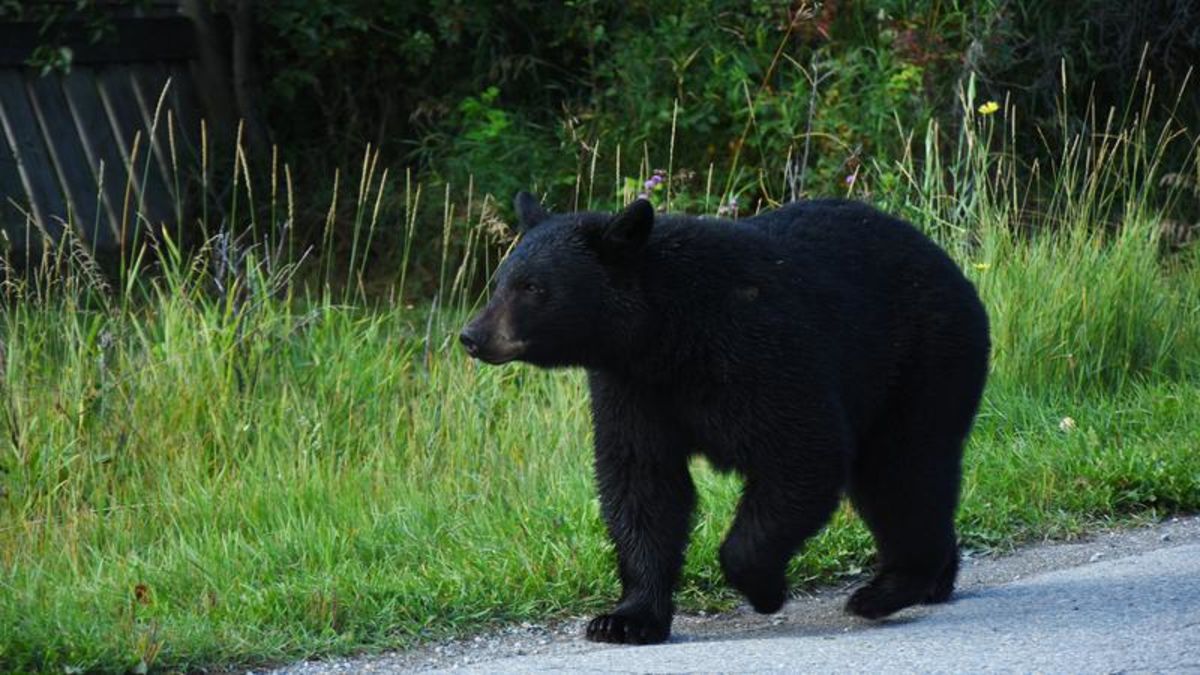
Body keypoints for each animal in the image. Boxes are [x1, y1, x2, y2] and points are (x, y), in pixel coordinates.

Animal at [460, 192, 990, 645]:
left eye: (533, 288)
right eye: (499, 282)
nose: (472, 336)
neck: (663, 336)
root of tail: (947, 262)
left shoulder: (758, 351)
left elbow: (802, 451)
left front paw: (765, 589)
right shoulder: (631, 390)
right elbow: (641, 483)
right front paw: (625, 619)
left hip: (923, 359)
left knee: (904, 471)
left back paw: (887, 590)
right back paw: (937, 579)